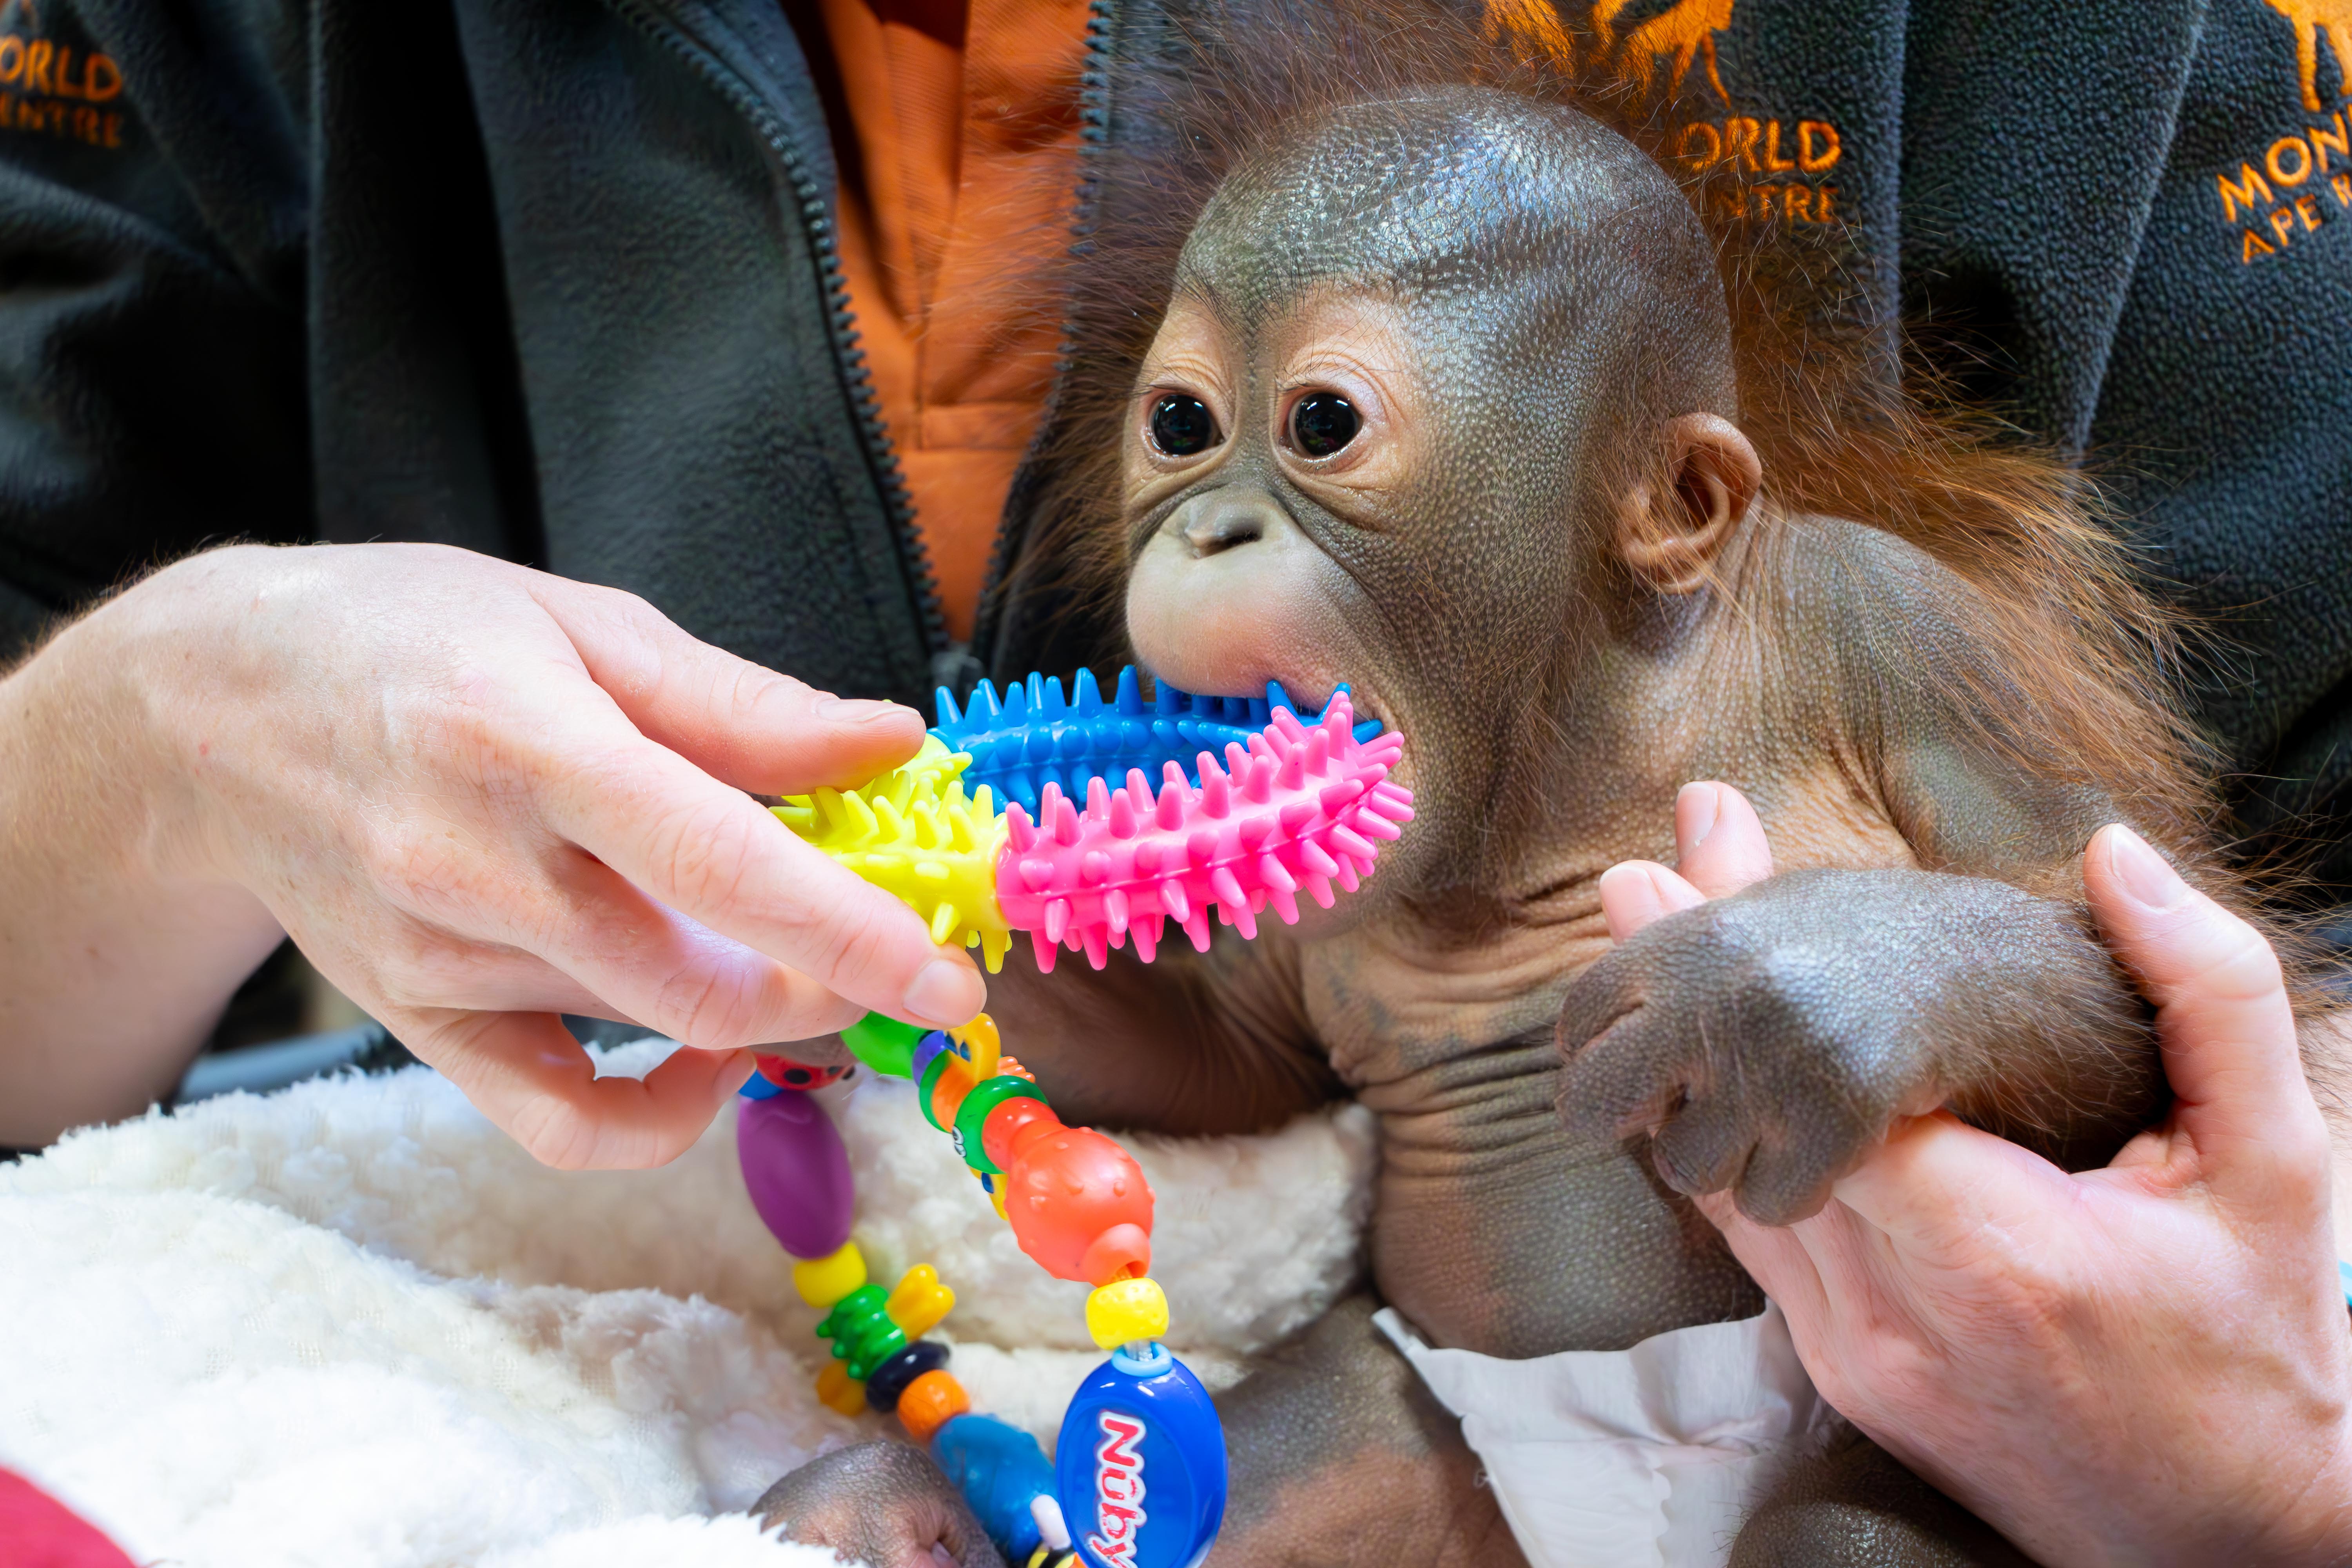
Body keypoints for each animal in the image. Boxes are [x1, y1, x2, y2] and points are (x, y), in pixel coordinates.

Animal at [750, 15, 2334, 1566]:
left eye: (1319, 424)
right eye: (1182, 424)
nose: (1207, 530)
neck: (1555, 734)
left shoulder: (1901, 628)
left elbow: (2118, 937)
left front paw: (1797, 994)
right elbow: (1231, 1059)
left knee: (1848, 1532)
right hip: (1423, 1408)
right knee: (1330, 1440)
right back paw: (885, 1506)